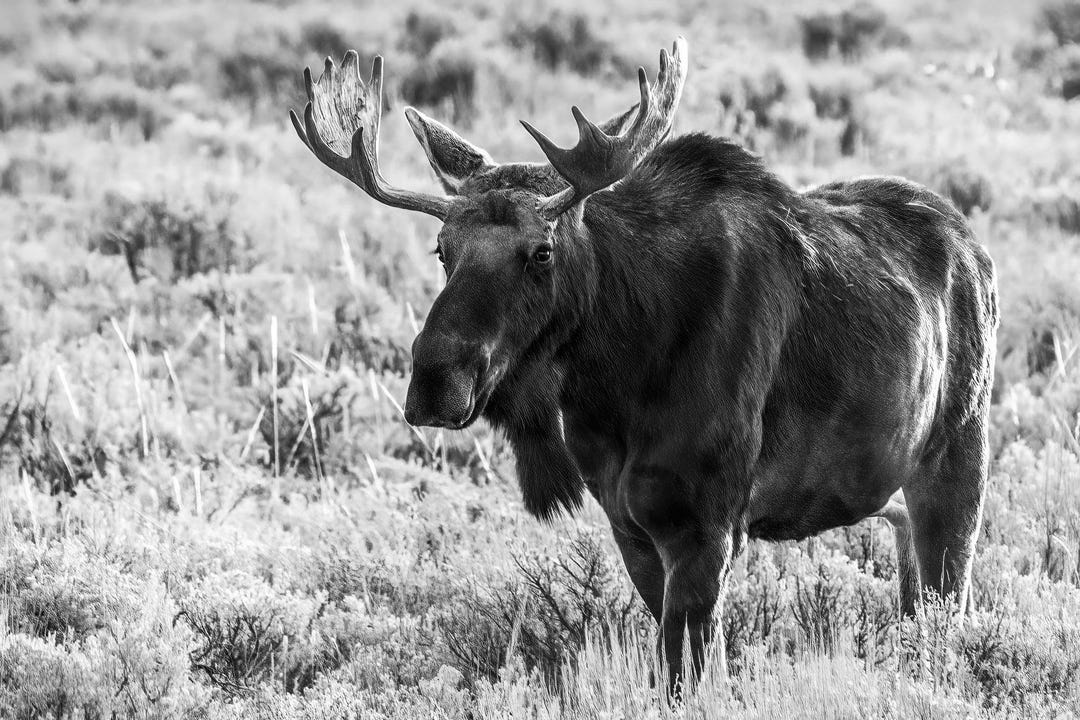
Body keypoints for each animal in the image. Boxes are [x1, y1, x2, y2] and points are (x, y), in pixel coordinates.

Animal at [290, 38, 999, 691]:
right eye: (442, 249)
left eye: (542, 251)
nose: (436, 382)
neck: (613, 382)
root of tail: (977, 252)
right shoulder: (628, 523)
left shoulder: (708, 525)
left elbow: (689, 671)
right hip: (896, 502)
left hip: (957, 462)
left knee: (952, 612)